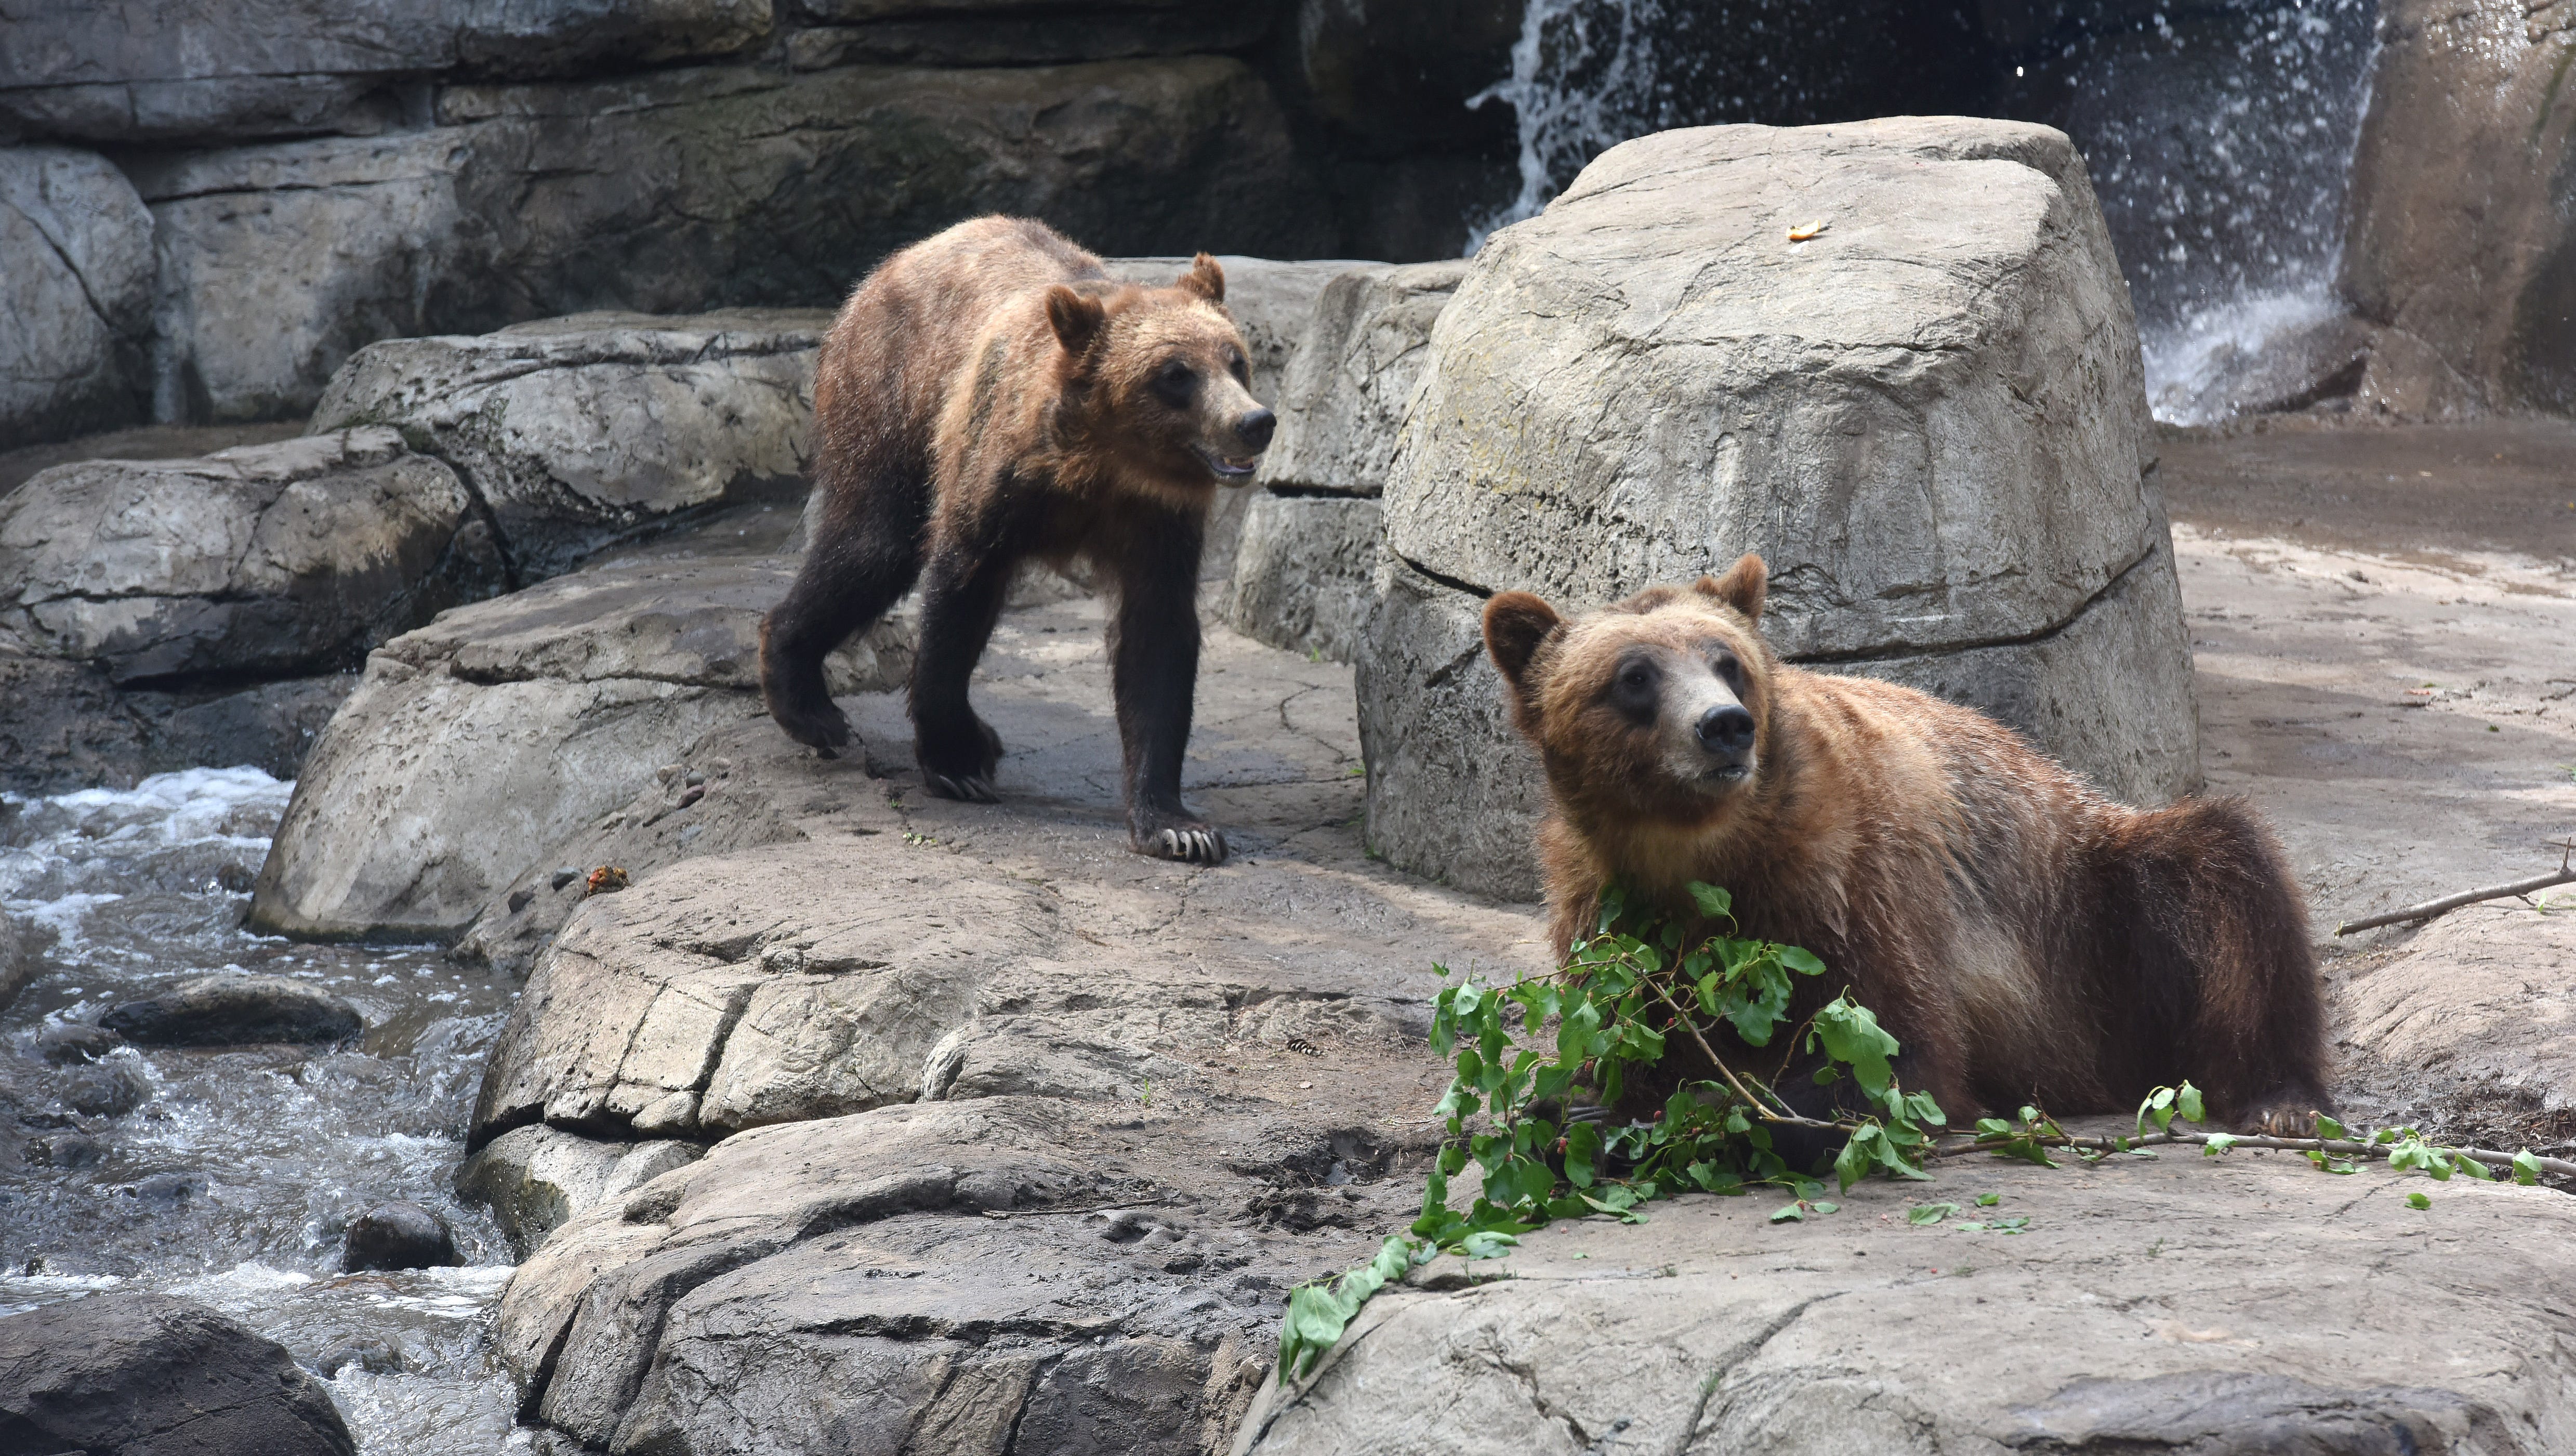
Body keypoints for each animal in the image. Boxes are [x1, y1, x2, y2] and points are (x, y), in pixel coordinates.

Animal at [761, 216, 1274, 864]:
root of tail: (891, 265)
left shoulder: (1158, 520)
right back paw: (810, 705)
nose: (1254, 422)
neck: (1099, 465)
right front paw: (955, 762)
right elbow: (958, 594)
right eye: (1176, 375)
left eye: (1235, 360)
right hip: (891, 394)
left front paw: (1178, 826)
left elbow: (1157, 640)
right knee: (873, 547)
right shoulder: (999, 473)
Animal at [1481, 554, 2334, 1139]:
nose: (1723, 726)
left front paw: (1714, 1111)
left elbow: (1891, 1053)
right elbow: (1622, 1039)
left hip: (2099, 925)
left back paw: (2281, 1098)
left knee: (2230, 876)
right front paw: (1580, 1106)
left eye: (1727, 661)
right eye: (1634, 676)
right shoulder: (1601, 905)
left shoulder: (1848, 881)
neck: (1704, 851)